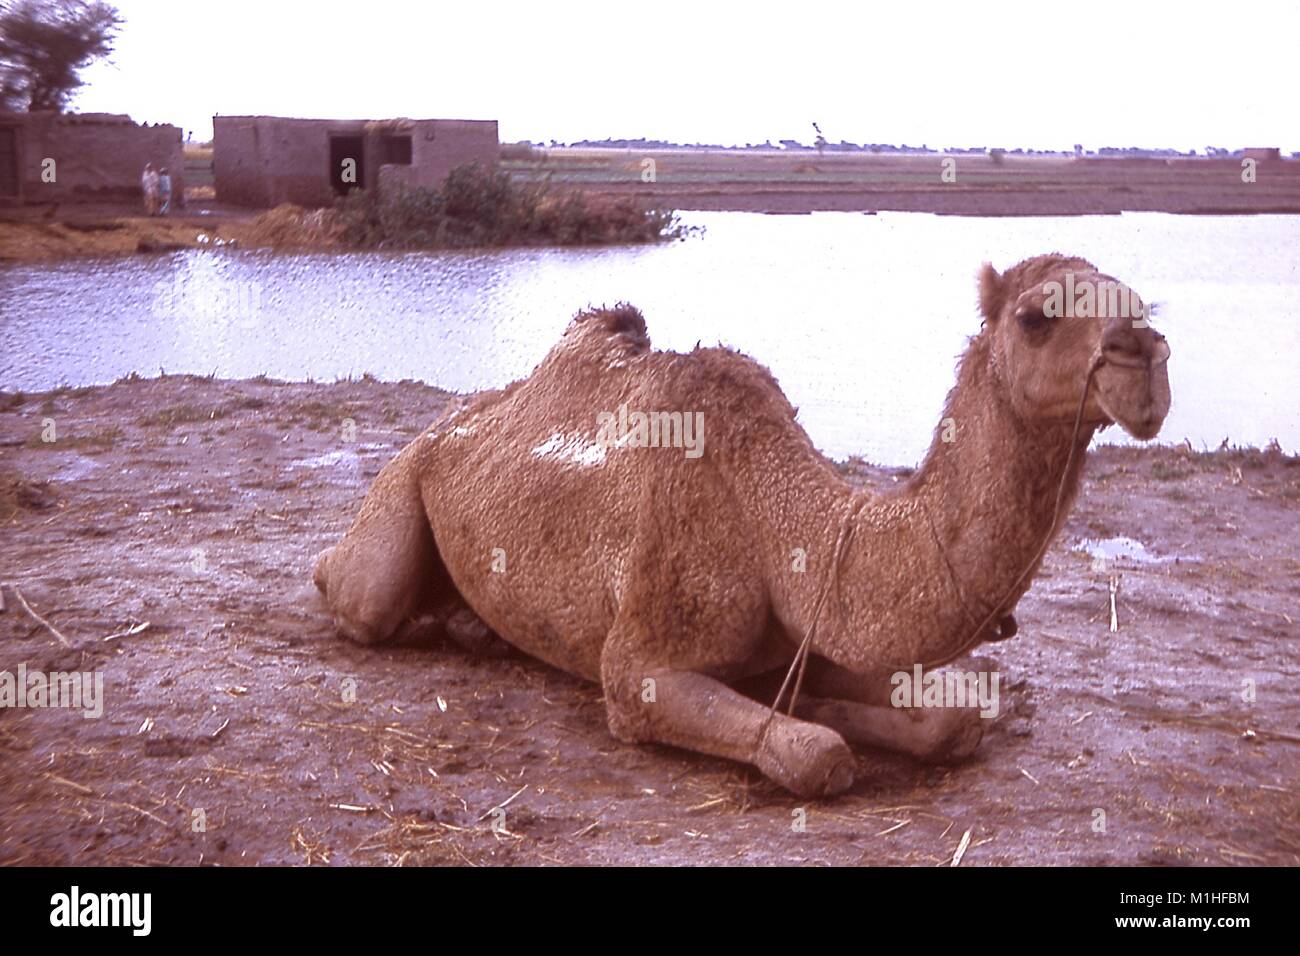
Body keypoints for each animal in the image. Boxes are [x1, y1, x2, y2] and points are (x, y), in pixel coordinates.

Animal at [313, 254, 1171, 797]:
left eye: (1143, 303)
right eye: (1036, 317)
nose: (1144, 353)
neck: (784, 525)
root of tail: (457, 418)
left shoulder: (820, 632)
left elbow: (951, 721)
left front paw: (825, 705)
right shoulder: (639, 665)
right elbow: (816, 757)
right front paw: (814, 726)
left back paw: (472, 628)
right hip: (404, 485)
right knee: (357, 592)